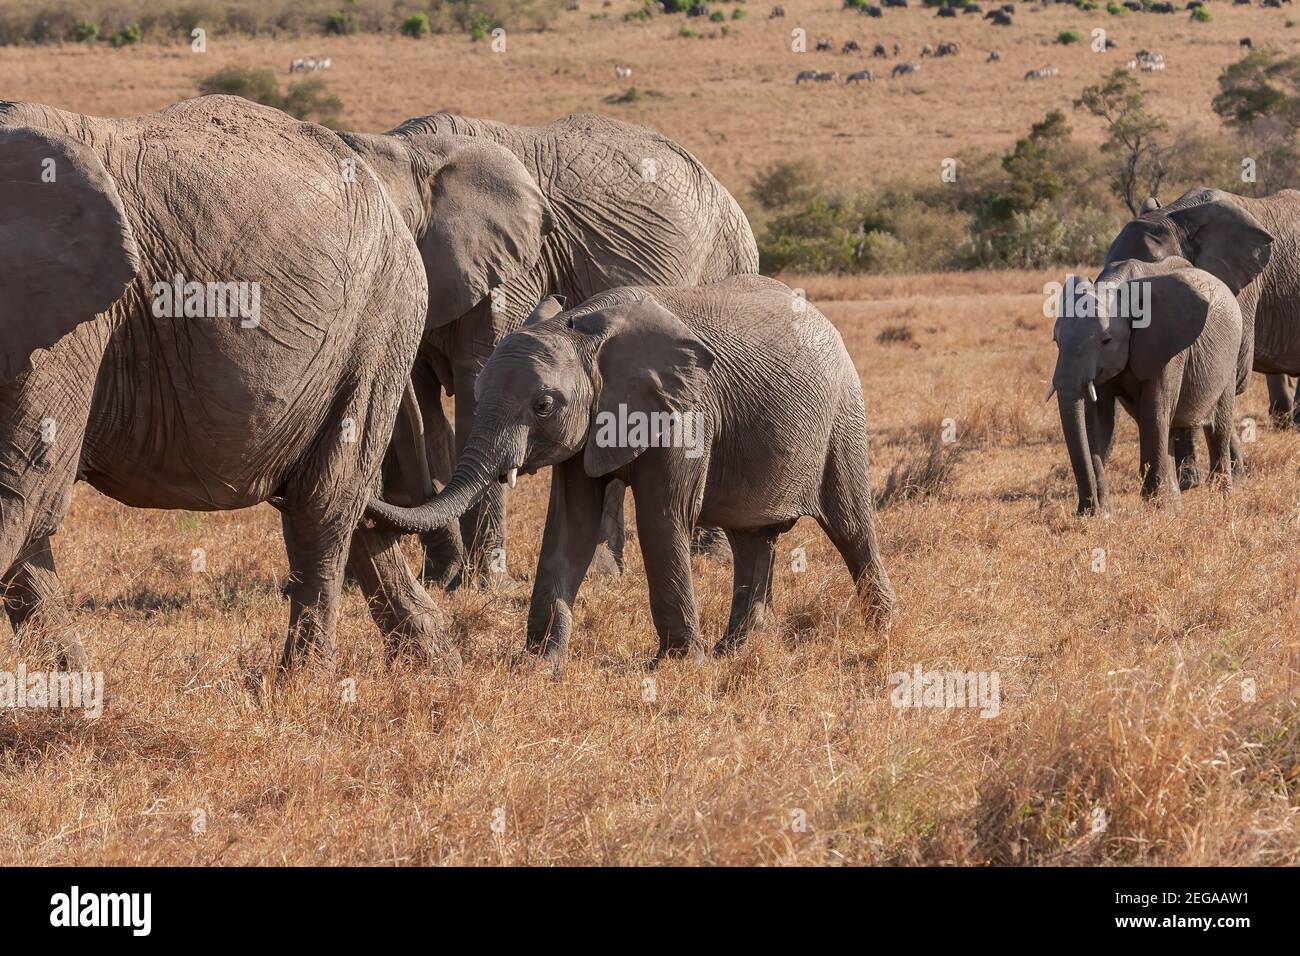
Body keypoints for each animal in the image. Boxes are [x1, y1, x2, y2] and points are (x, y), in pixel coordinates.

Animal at [0, 96, 550, 670]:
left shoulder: (75, 319)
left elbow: (28, 486)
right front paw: (74, 687)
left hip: (380, 317)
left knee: (326, 499)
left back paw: (304, 679)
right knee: (340, 501)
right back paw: (433, 662)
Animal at [340, 113, 759, 590]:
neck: (411, 151)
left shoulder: (515, 268)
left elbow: (474, 383)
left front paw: (485, 585)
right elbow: (426, 411)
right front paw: (440, 578)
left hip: (727, 263)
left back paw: (708, 560)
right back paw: (603, 571)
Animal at [364, 277, 897, 665]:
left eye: (543, 405)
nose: (368, 507)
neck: (582, 332)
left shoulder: (687, 411)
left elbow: (662, 520)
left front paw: (675, 668)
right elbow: (570, 525)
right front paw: (536, 666)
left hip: (843, 417)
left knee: (852, 528)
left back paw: (882, 634)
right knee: (752, 539)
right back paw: (733, 652)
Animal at [1049, 259, 1243, 513]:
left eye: (1106, 341)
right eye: (1056, 341)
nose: (1087, 510)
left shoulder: (1167, 349)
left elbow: (1153, 412)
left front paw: (1154, 509)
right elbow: (1099, 421)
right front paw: (1102, 515)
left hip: (1230, 359)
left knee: (1217, 428)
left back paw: (1220, 503)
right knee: (1169, 429)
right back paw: (1177, 507)